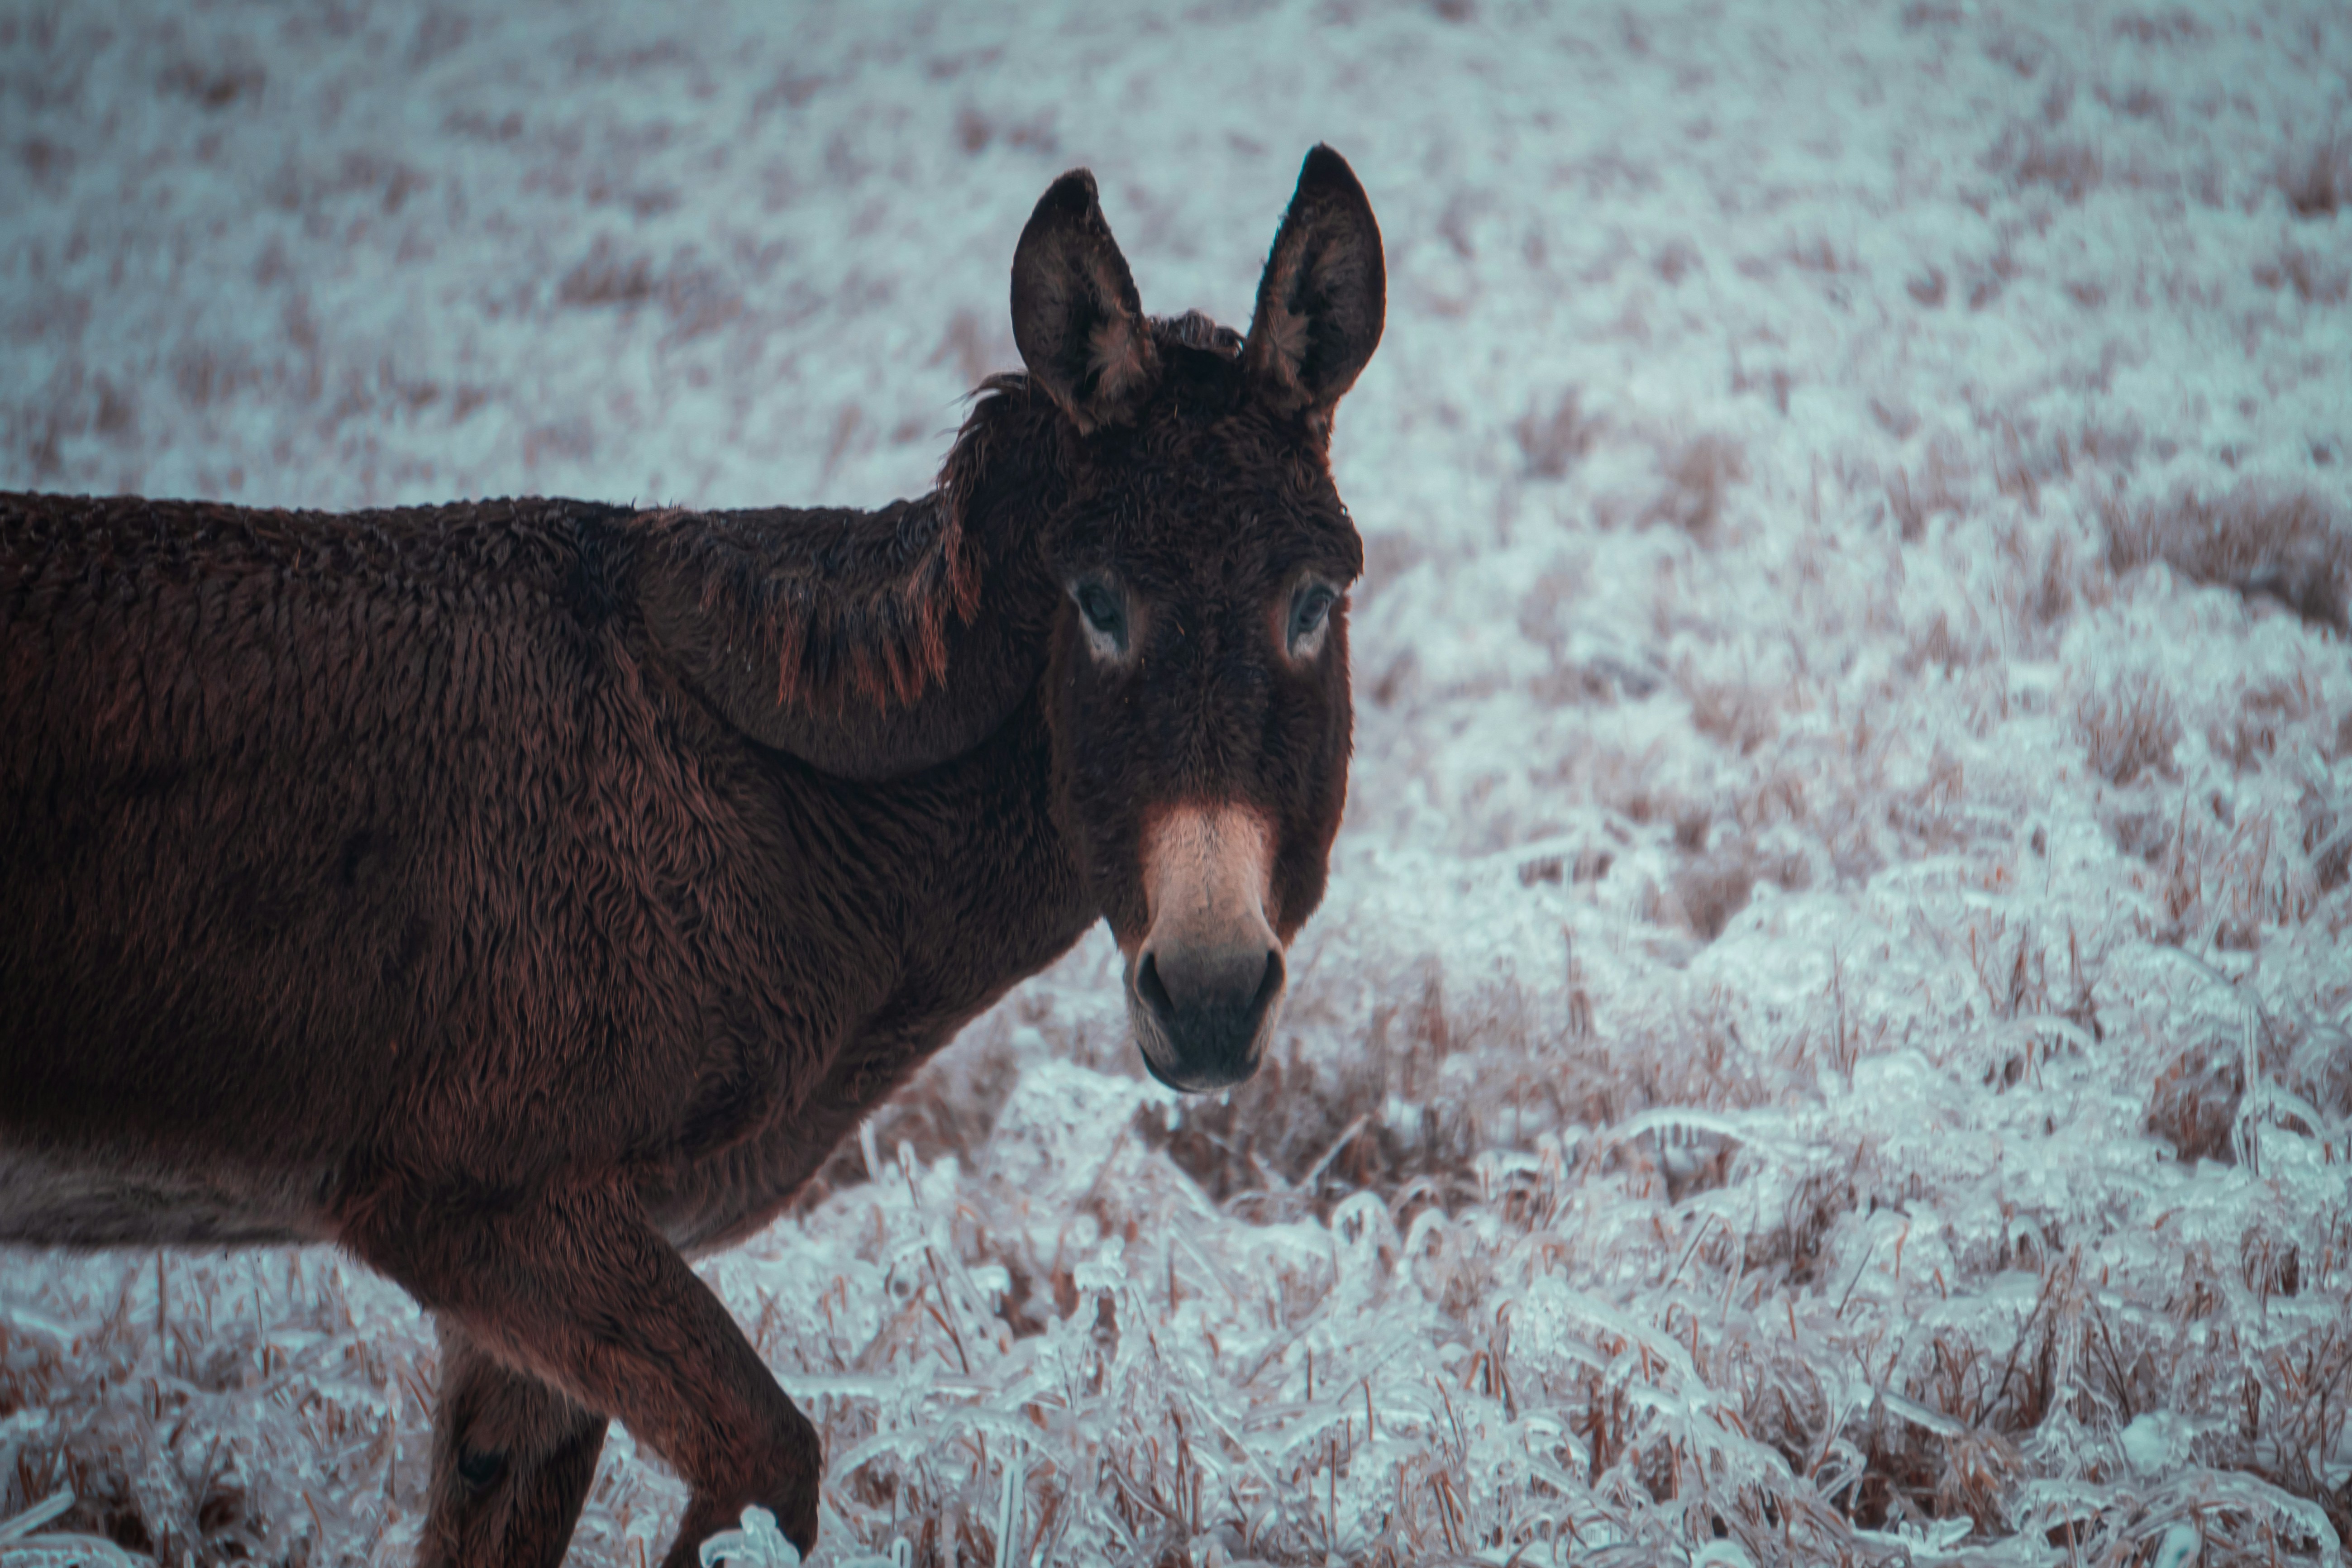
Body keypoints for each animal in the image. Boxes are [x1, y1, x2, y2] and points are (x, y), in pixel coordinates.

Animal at [0, 145, 1383, 1566]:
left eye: (1314, 599)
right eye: (1096, 602)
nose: (1208, 999)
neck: (781, 797)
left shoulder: (547, 1275)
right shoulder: (475, 1191)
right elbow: (772, 1466)